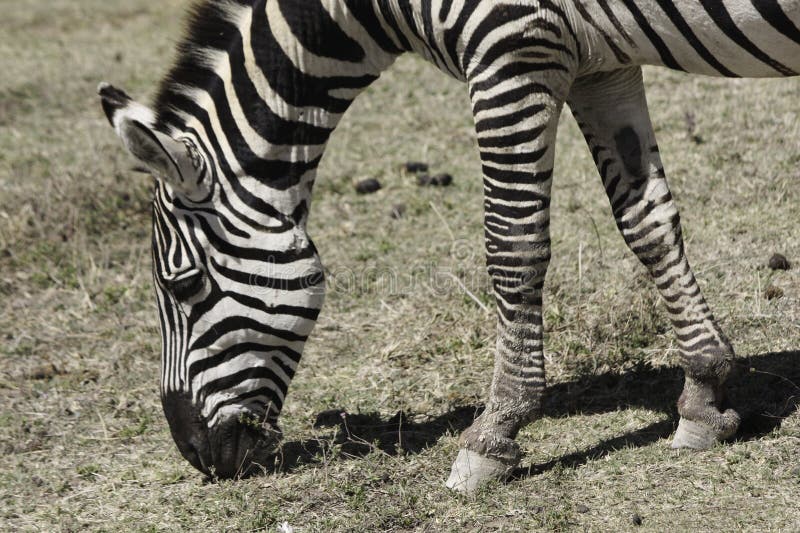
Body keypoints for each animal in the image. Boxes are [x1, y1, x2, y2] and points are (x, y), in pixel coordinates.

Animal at [98, 0, 800, 492]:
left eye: (185, 286)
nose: (197, 456)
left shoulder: (512, 49)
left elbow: (512, 246)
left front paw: (494, 433)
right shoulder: (600, 62)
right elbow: (646, 220)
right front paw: (704, 394)